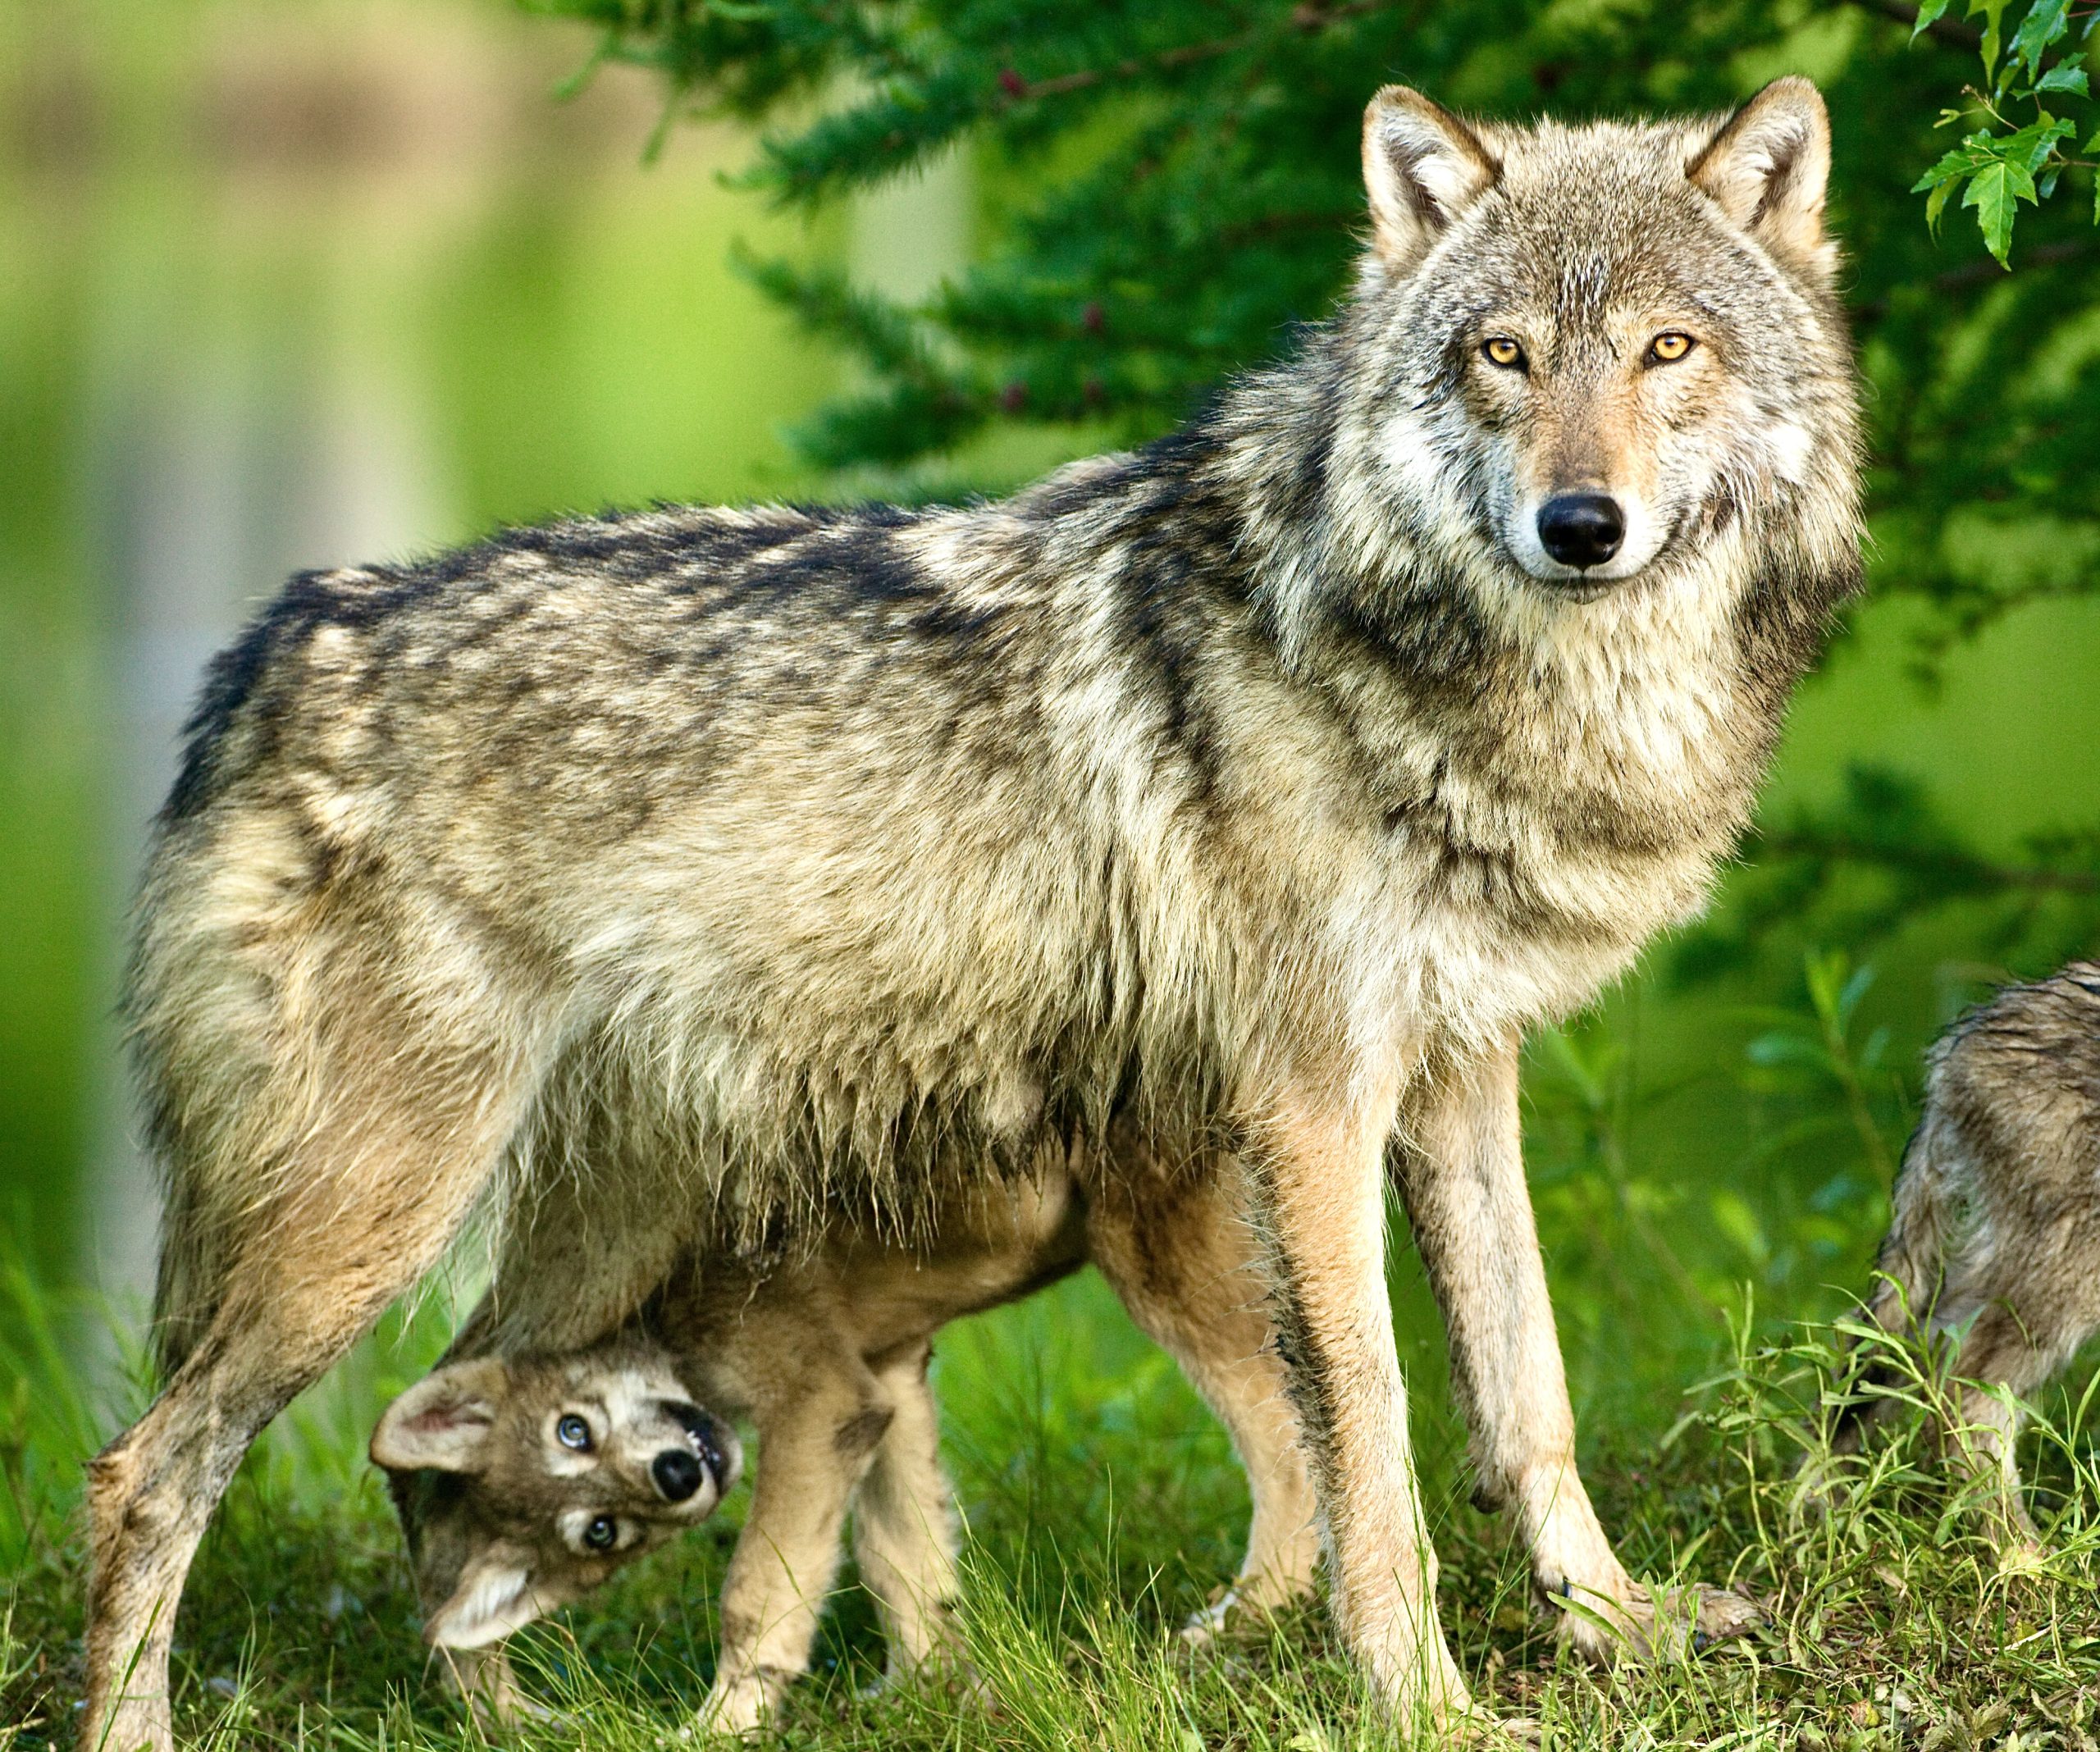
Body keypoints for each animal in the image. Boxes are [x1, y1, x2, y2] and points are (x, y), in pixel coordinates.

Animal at [374, 1145, 1315, 1734]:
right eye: (602, 1532)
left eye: (574, 1429)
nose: (680, 1474)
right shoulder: (883, 1389)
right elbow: (905, 1561)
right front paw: (926, 1696)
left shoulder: (820, 1404)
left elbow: (757, 1592)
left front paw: (721, 1726)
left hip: (1169, 1267)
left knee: (1294, 1457)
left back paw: (1239, 1623)